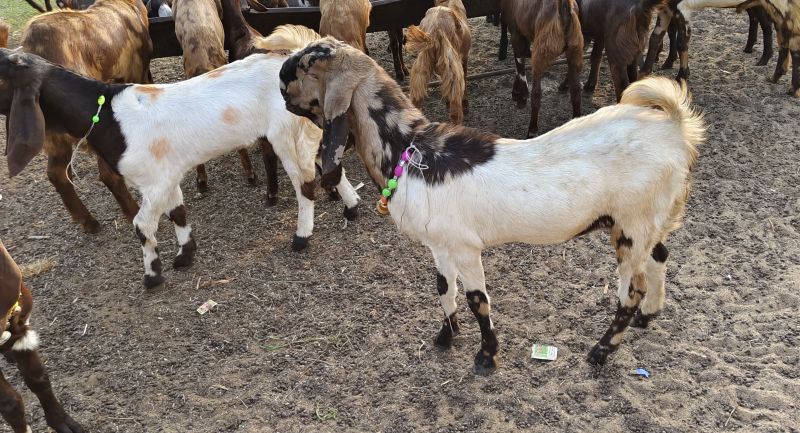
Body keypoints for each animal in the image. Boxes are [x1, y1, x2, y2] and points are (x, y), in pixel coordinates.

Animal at [13, 0, 151, 234]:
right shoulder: (138, 71)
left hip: (52, 133)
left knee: (57, 174)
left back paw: (88, 221)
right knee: (108, 175)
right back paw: (132, 213)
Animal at [280, 39, 705, 372]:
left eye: (306, 65)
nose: (280, 81)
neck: (409, 150)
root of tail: (674, 129)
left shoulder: (466, 246)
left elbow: (477, 300)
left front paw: (487, 356)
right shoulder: (439, 243)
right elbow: (443, 287)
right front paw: (446, 336)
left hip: (631, 225)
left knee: (631, 291)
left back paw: (601, 352)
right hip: (649, 220)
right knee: (660, 256)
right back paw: (649, 316)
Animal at [500, 0, 584, 137]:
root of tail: (564, 7)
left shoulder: (516, 33)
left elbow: (519, 63)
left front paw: (520, 97)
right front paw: (516, 92)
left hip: (540, 53)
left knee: (537, 93)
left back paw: (532, 131)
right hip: (574, 51)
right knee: (576, 90)